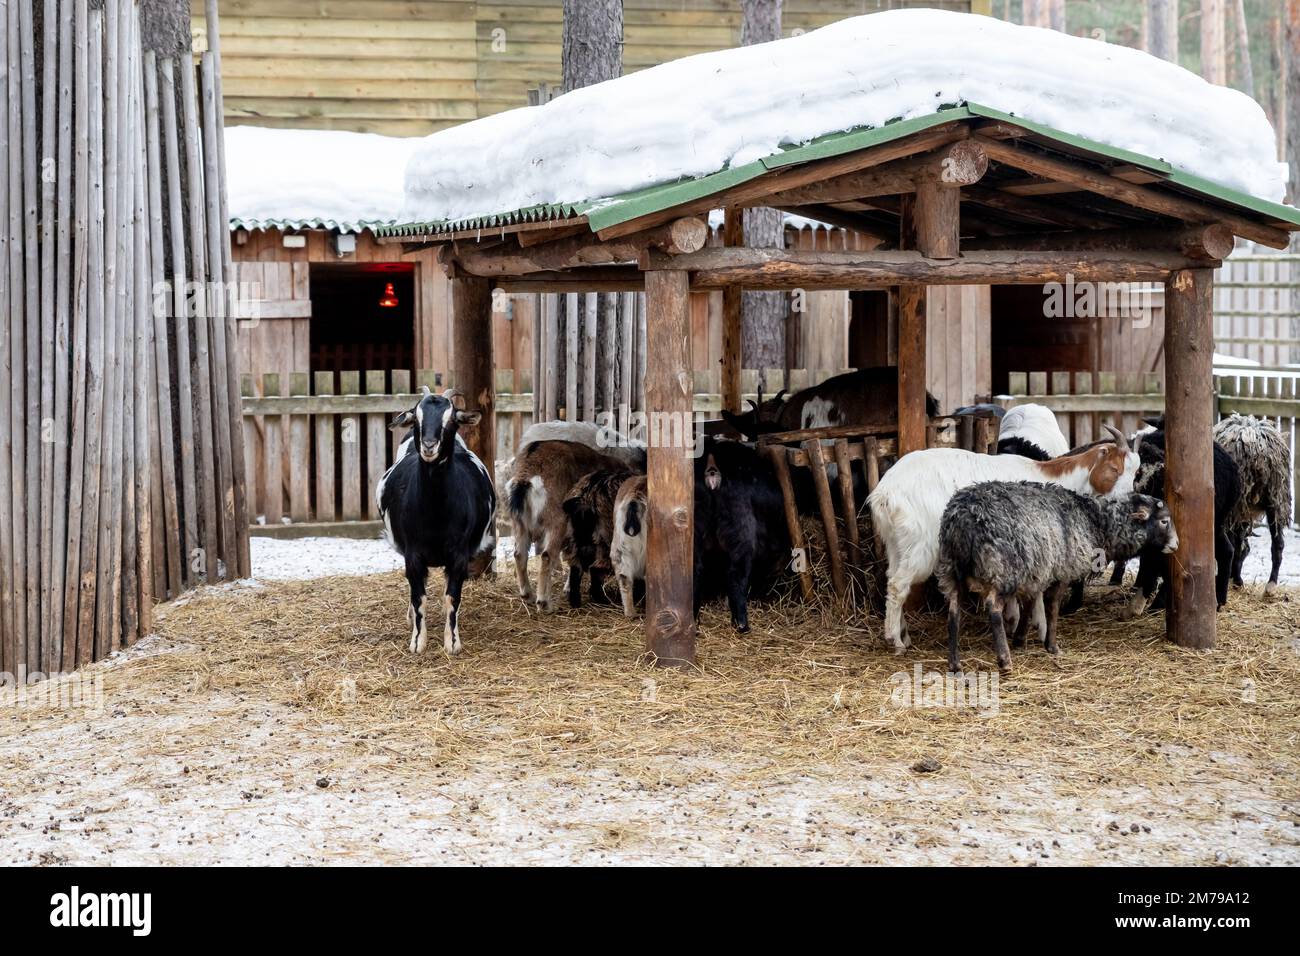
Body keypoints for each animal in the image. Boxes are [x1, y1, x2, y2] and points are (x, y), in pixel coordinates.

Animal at [376, 386, 496, 655]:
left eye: (451, 421)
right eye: (417, 419)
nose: (429, 446)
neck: (435, 514)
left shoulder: (459, 554)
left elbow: (452, 596)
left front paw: (452, 642)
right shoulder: (413, 553)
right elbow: (418, 596)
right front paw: (417, 642)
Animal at [561, 466, 634, 608]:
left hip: (571, 539)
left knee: (576, 569)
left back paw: (575, 601)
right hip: (607, 539)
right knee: (596, 569)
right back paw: (601, 599)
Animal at [867, 426, 1138, 653]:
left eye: (1135, 473)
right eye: (1115, 469)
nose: (1130, 503)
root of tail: (884, 494)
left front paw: (1014, 623)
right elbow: (1036, 593)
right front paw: (1038, 629)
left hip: (897, 543)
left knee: (892, 579)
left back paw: (903, 634)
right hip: (921, 544)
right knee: (899, 584)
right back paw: (895, 640)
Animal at [938, 482, 1177, 673]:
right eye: (1164, 521)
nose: (1176, 544)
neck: (1095, 521)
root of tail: (965, 518)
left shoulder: (1036, 572)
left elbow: (1029, 604)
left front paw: (1020, 639)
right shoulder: (1061, 570)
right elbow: (1052, 607)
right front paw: (1052, 646)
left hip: (952, 569)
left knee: (954, 610)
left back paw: (955, 663)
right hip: (1001, 569)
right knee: (993, 607)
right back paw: (1005, 661)